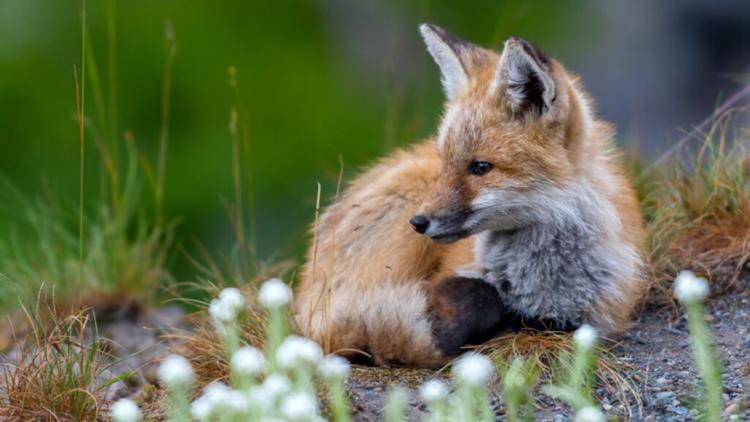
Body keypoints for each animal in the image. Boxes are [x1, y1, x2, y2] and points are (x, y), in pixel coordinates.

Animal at [293, 24, 646, 368]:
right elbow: (475, 301)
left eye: (480, 167)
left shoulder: (593, 316)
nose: (418, 223)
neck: (536, 275)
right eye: (446, 162)